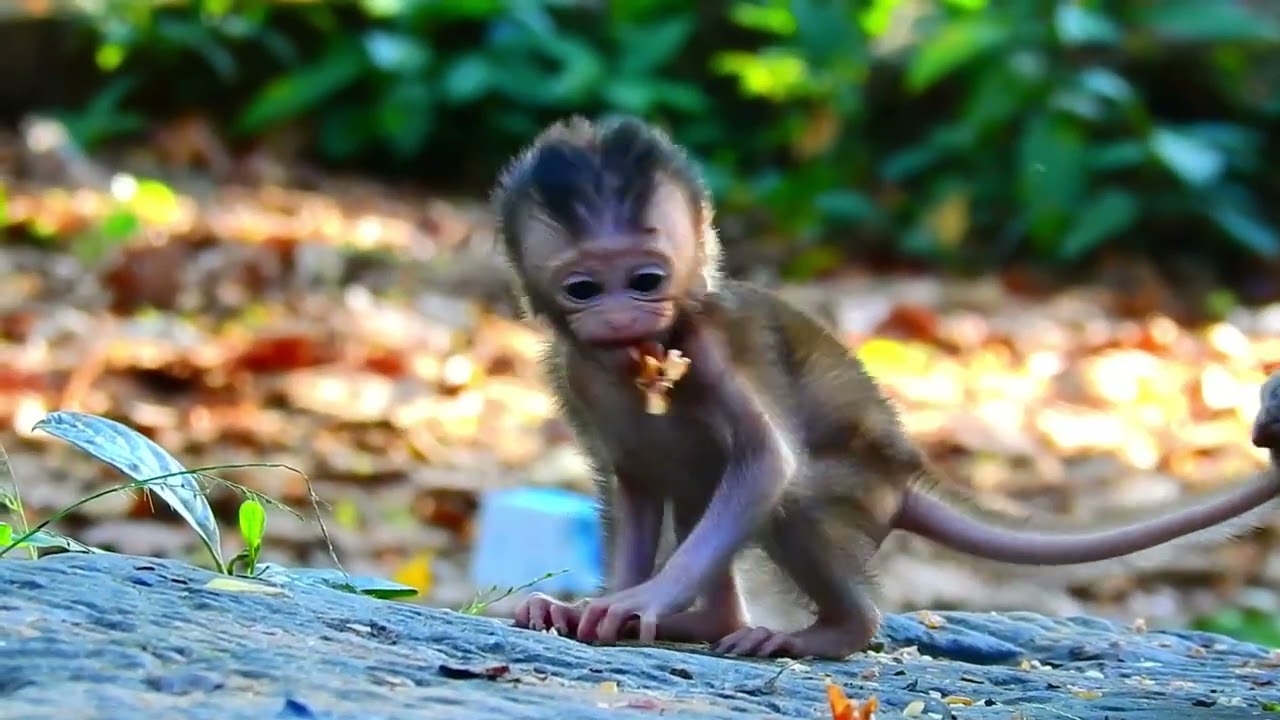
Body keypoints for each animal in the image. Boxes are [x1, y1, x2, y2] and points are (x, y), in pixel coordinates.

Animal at [488, 114, 1280, 660]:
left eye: (647, 279)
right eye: (584, 289)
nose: (624, 316)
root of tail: (904, 475)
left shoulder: (710, 348)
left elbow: (767, 464)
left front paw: (644, 597)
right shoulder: (574, 374)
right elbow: (633, 479)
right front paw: (596, 607)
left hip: (858, 488)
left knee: (795, 495)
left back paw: (832, 631)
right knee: (689, 479)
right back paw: (713, 621)